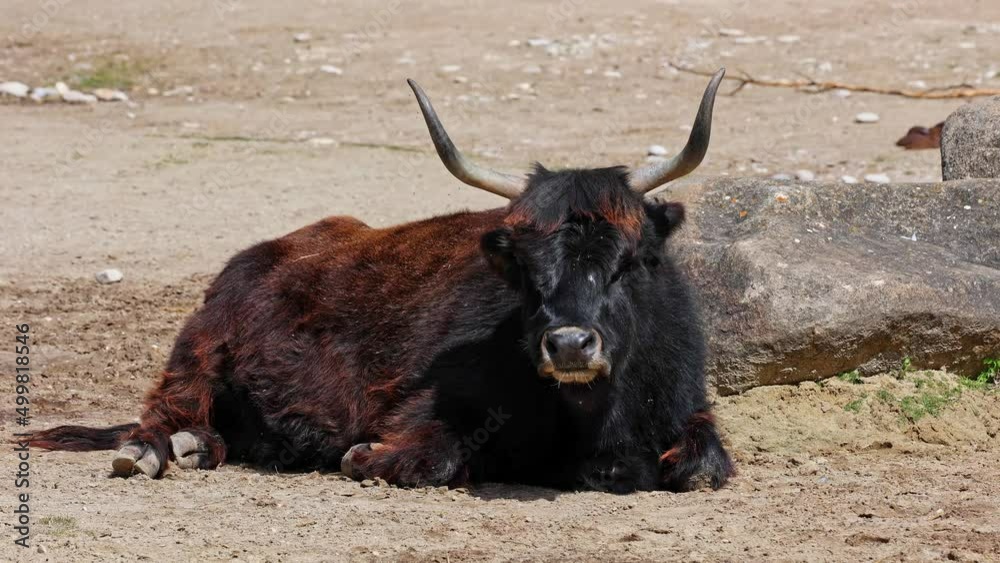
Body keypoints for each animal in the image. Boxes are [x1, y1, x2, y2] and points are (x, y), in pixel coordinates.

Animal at [30, 69, 733, 493]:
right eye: (525, 269)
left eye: (629, 260)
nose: (568, 345)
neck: (589, 420)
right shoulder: (420, 410)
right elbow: (427, 457)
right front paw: (359, 456)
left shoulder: (689, 414)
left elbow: (704, 466)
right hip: (195, 354)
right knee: (160, 413)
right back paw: (154, 451)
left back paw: (199, 448)